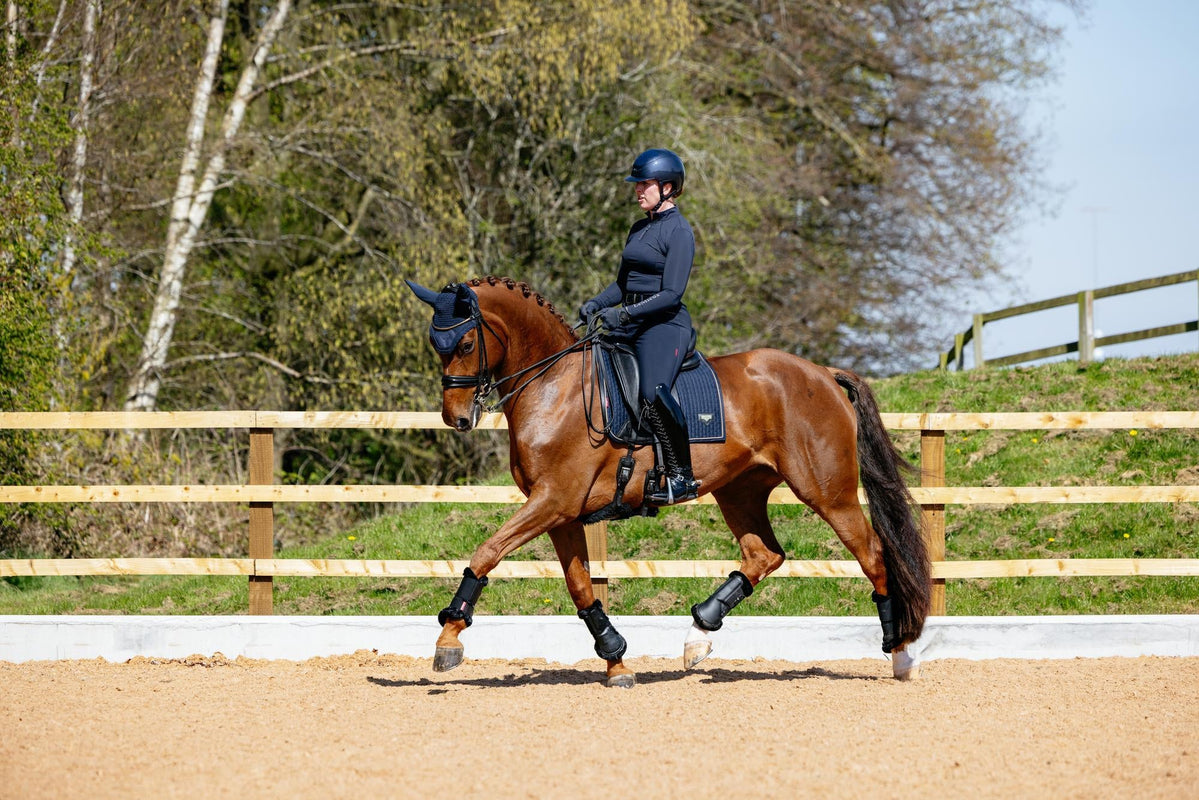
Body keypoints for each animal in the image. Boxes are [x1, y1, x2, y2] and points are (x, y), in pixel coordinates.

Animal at [407, 275, 930, 687]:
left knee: (873, 554)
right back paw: (697, 636)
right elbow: (581, 588)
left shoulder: (554, 501)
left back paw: (900, 653)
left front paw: (448, 637)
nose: (456, 418)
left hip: (827, 491)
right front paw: (616, 661)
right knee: (764, 555)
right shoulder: (560, 512)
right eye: (436, 345)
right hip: (739, 490)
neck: (553, 385)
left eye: (466, 345)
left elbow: (487, 551)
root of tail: (821, 372)